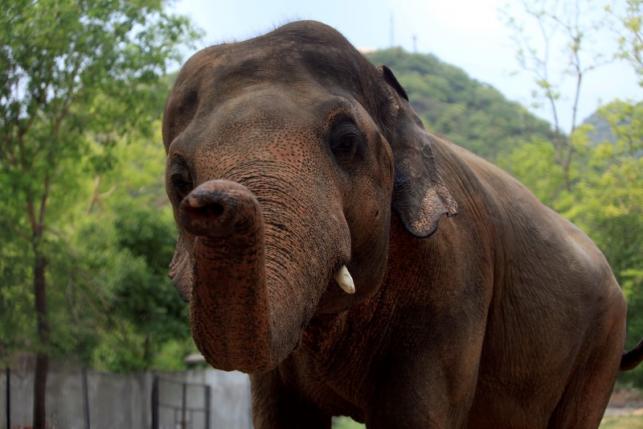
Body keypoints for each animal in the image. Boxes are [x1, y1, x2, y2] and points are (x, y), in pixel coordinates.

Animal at [163, 20, 643, 429]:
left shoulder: (455, 277)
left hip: (602, 343)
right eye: (179, 180)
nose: (211, 201)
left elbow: (414, 414)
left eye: (346, 142)